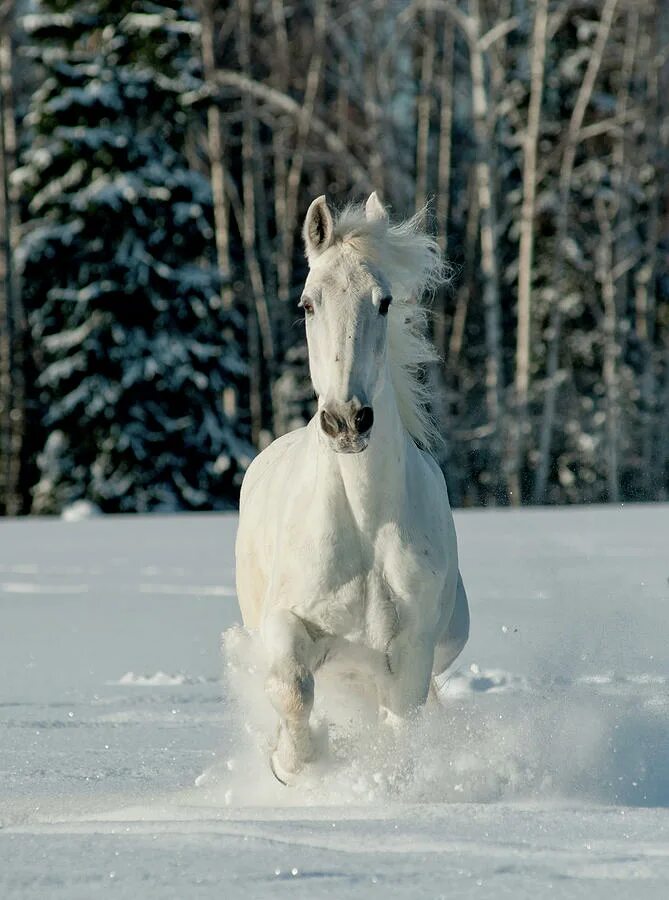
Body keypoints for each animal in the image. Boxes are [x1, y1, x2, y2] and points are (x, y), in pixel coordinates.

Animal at [235, 193, 470, 784]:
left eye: (383, 302)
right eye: (306, 305)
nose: (346, 421)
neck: (364, 525)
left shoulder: (410, 655)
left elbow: (402, 729)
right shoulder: (286, 623)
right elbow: (292, 690)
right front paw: (289, 765)